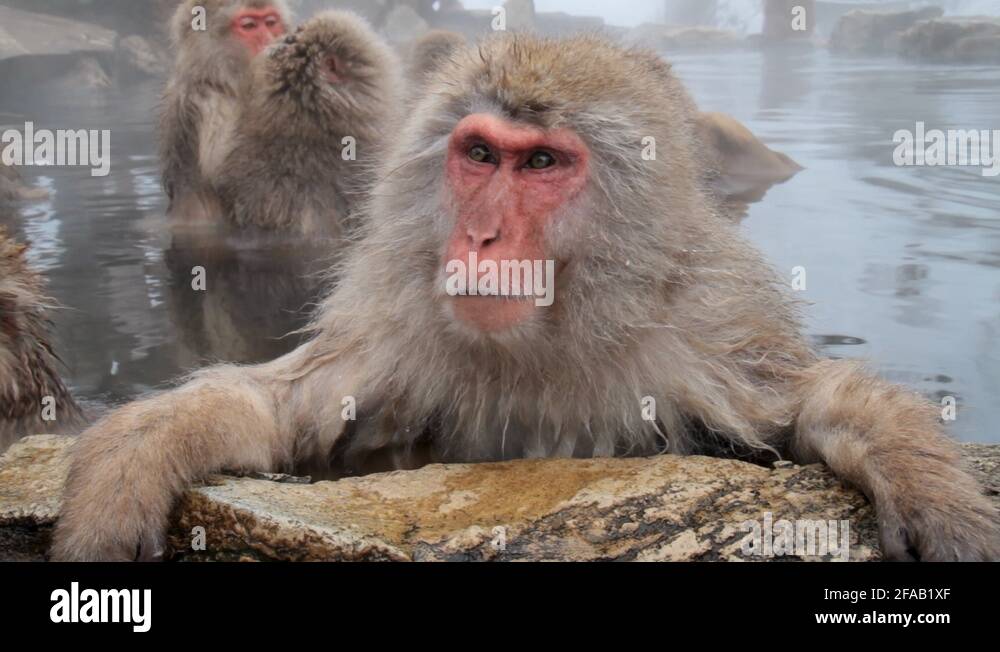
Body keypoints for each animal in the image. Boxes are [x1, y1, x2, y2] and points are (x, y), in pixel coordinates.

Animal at [53, 33, 998, 562]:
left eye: (542, 162)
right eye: (479, 155)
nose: (481, 237)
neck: (548, 339)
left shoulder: (701, 338)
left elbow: (809, 403)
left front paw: (930, 488)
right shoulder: (400, 341)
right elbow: (278, 409)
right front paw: (131, 465)